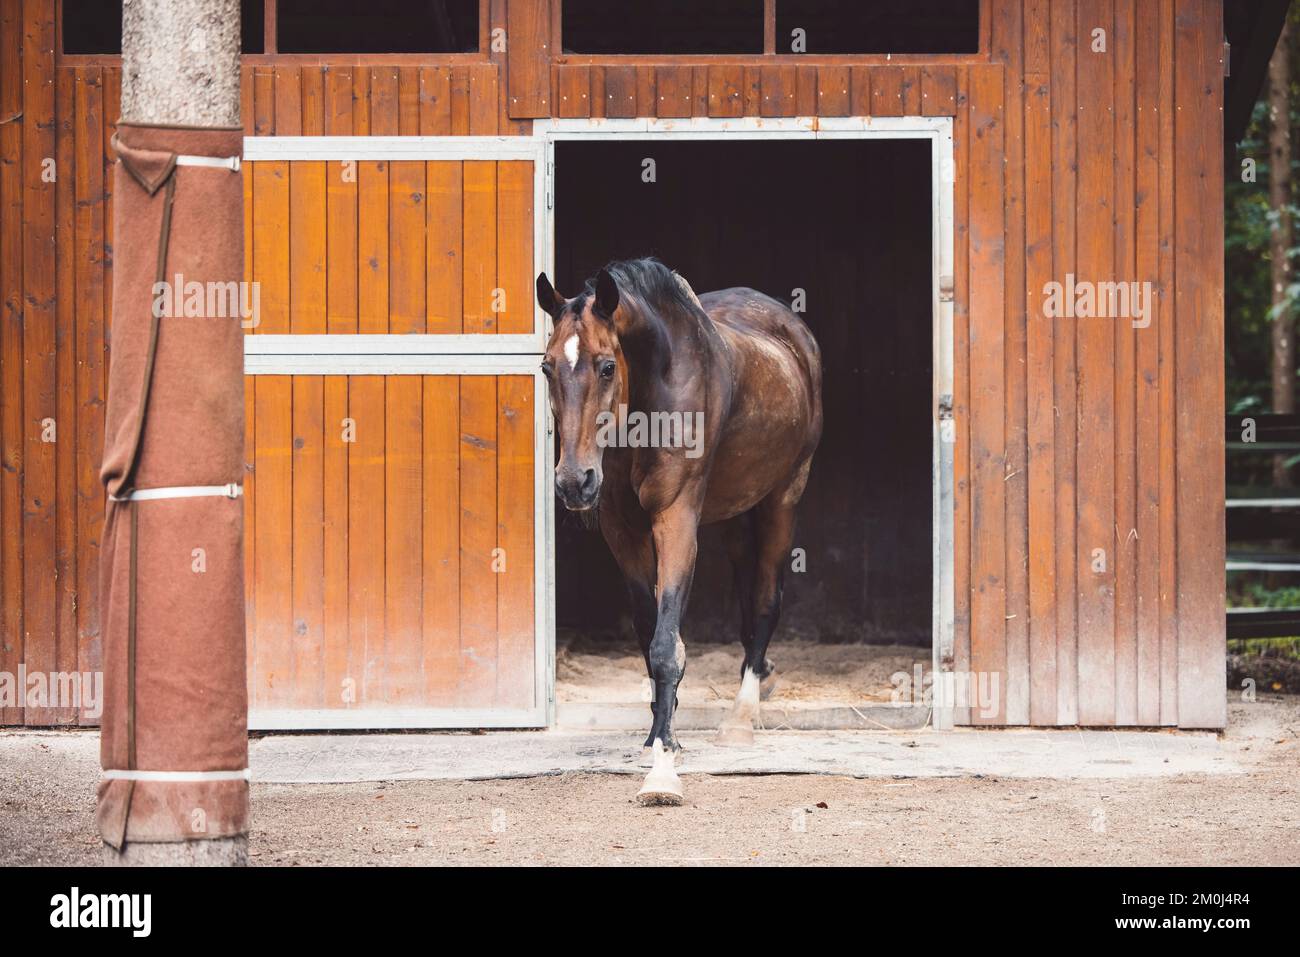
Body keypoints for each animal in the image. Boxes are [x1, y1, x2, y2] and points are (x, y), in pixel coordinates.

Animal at [537, 258, 823, 805]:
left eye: (607, 366)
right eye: (546, 367)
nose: (573, 482)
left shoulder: (676, 518)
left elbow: (667, 646)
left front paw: (663, 770)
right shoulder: (622, 531)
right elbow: (650, 635)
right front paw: (657, 736)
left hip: (784, 497)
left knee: (765, 601)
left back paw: (741, 717)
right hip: (735, 511)